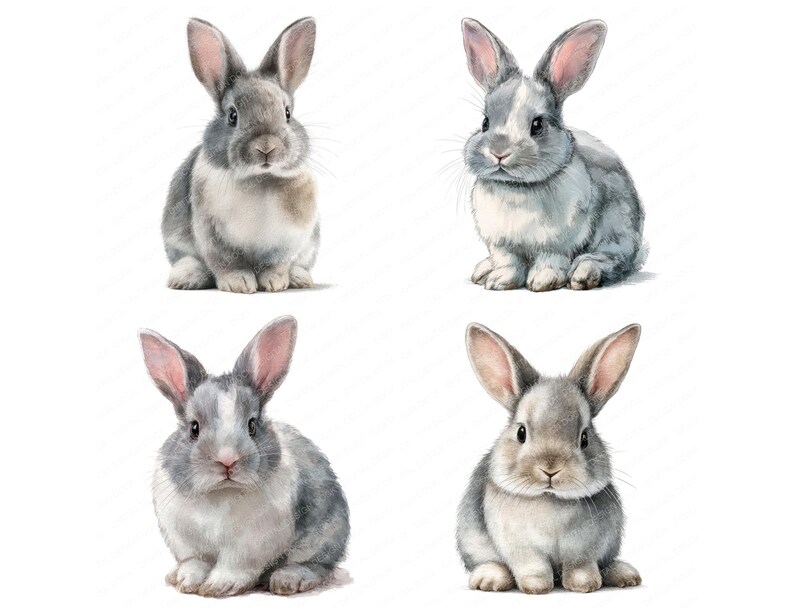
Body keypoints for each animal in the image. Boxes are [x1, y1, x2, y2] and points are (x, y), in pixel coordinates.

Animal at [139, 316, 350, 597]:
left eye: (252, 425)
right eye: (194, 428)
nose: (227, 460)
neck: (220, 494)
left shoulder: (250, 544)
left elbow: (235, 565)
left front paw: (217, 586)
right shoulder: (187, 543)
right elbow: (194, 562)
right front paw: (186, 581)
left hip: (324, 536)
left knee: (318, 565)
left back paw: (288, 579)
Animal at [162, 18, 320, 293]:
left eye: (287, 113)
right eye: (232, 115)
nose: (266, 146)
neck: (260, 179)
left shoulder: (288, 239)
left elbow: (276, 263)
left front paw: (275, 282)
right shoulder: (212, 235)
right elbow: (226, 263)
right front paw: (240, 284)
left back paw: (300, 279)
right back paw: (185, 278)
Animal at [456, 322, 643, 593]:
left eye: (584, 438)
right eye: (521, 432)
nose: (550, 469)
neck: (550, 499)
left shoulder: (584, 549)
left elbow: (581, 565)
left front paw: (585, 585)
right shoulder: (521, 548)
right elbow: (532, 566)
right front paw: (536, 587)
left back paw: (625, 575)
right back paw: (489, 579)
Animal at [460, 19, 647, 291]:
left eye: (537, 125)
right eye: (485, 123)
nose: (499, 153)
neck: (517, 189)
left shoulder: (559, 243)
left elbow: (550, 259)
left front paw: (542, 281)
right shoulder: (501, 243)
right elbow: (507, 260)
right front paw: (499, 280)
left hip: (616, 232)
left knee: (610, 259)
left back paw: (584, 275)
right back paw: (482, 270)